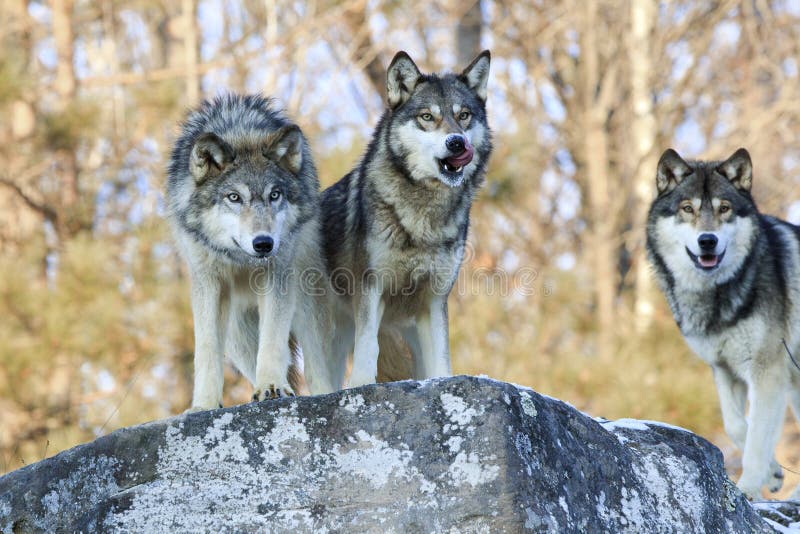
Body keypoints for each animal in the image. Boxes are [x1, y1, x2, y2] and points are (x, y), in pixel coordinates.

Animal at [167, 94, 332, 410]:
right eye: (234, 197)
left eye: (274, 195)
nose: (264, 243)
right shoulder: (208, 283)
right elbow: (206, 350)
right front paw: (204, 405)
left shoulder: (278, 276)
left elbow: (272, 341)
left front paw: (271, 386)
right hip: (237, 333)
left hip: (308, 308)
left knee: (319, 369)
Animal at [314, 51, 494, 394]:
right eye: (427, 117)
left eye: (463, 116)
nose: (457, 143)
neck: (423, 216)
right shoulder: (370, 287)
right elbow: (368, 346)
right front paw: (361, 384)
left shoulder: (434, 298)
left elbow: (441, 357)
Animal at [648, 148, 800, 502]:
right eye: (688, 208)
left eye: (724, 208)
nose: (708, 241)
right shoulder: (724, 368)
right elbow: (737, 426)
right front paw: (773, 473)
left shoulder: (768, 372)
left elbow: (757, 437)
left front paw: (748, 489)